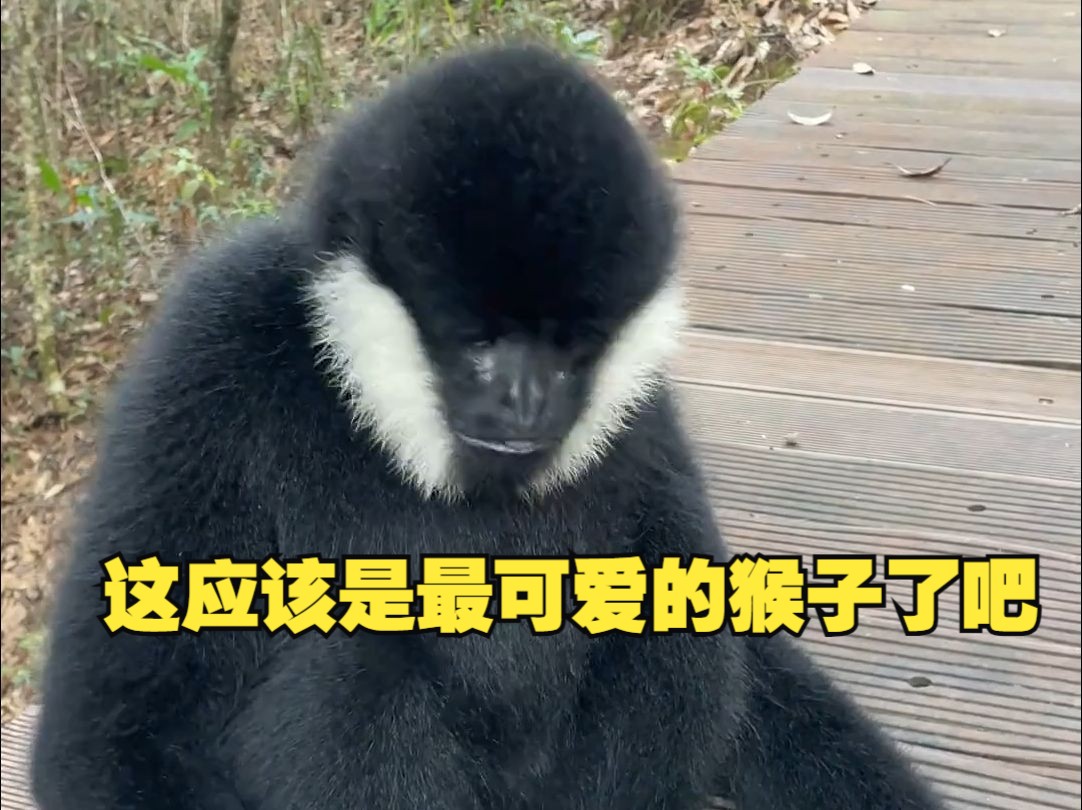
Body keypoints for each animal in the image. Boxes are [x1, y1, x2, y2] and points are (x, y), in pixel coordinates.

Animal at [31, 42, 945, 810]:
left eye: (569, 349)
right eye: (478, 342)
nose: (526, 402)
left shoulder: (644, 413)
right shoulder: (211, 345)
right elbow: (113, 729)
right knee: (360, 663)